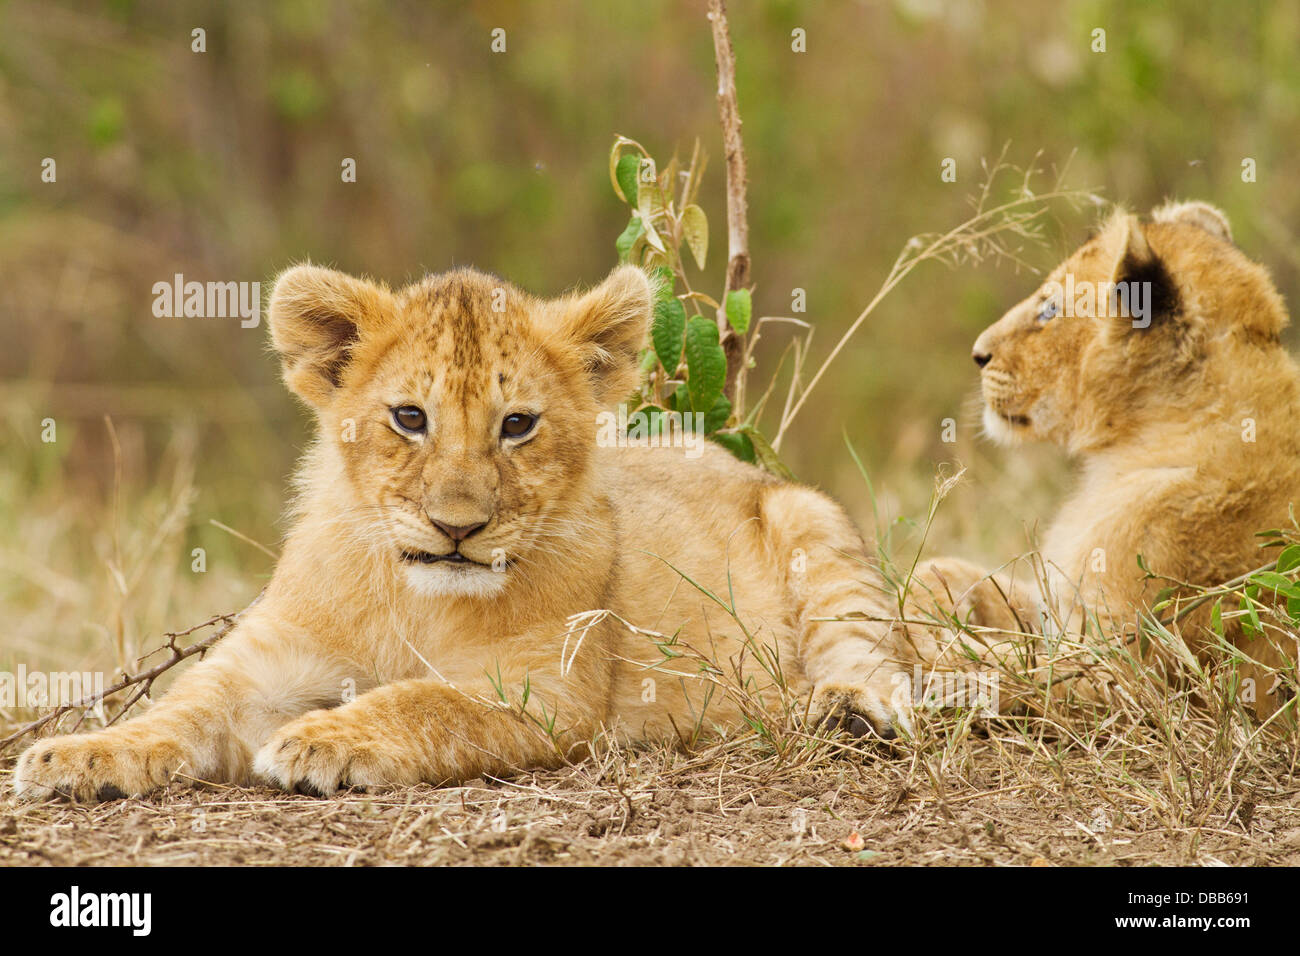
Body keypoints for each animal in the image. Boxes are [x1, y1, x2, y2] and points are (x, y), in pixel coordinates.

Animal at [15, 264, 912, 801]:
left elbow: (426, 700)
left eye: (517, 425)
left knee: (886, 669)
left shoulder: (547, 690)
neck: (414, 595)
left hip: (814, 525)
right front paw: (75, 755)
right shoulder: (262, 667)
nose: (458, 527)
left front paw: (320, 740)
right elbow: (180, 710)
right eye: (410, 417)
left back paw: (843, 713)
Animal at [914, 201, 1300, 718]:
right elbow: (982, 584)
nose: (978, 354)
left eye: (1050, 309)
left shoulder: (1127, 678)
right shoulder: (1062, 602)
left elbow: (996, 665)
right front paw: (916, 585)